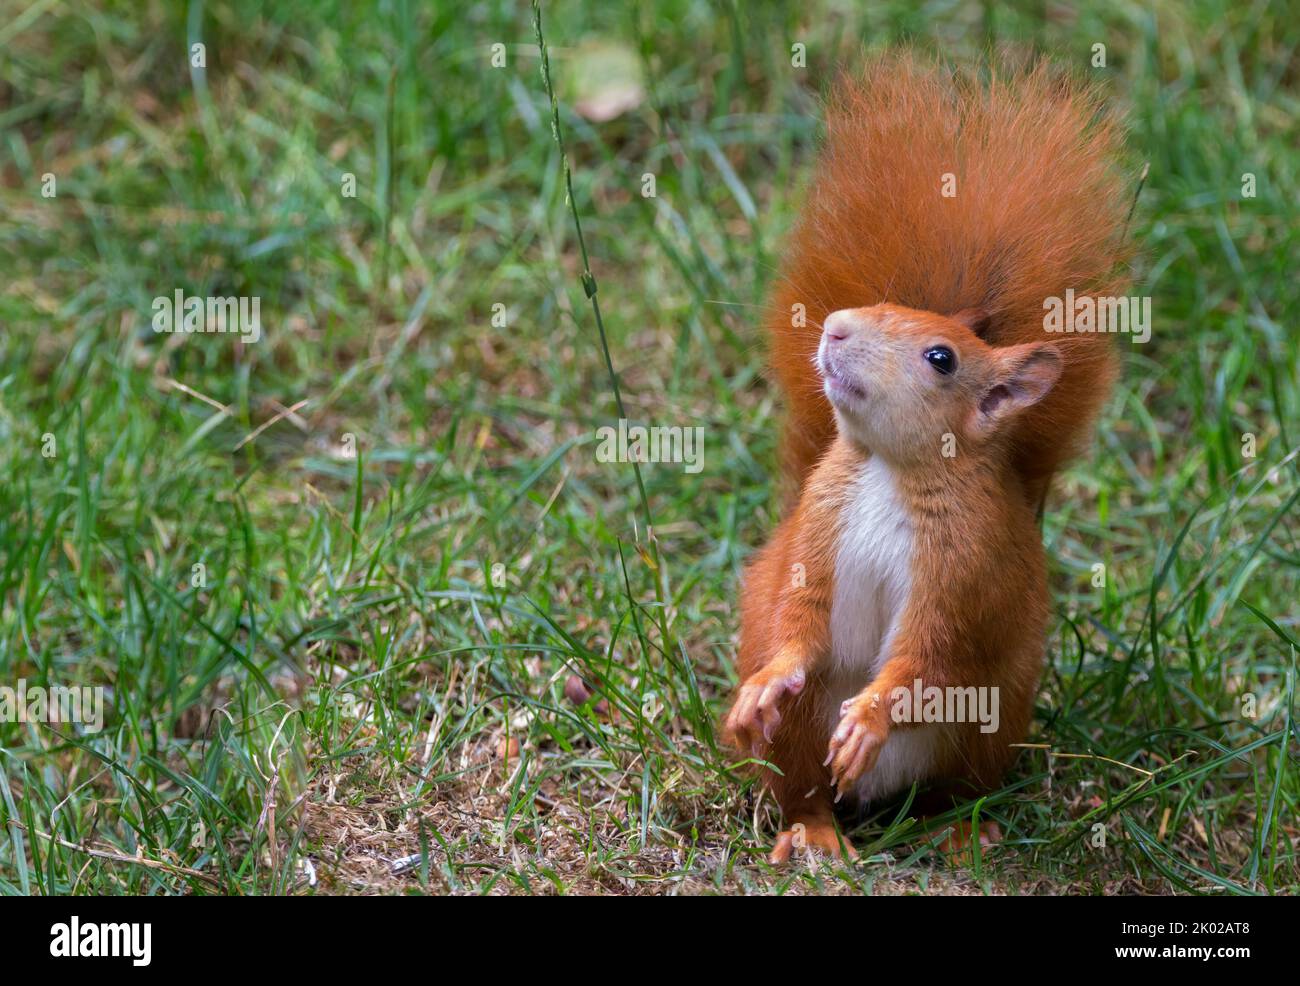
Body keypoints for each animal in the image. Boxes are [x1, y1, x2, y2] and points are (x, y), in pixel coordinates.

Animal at [725, 53, 1134, 863]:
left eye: (940, 357)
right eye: (878, 303)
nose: (835, 328)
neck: (890, 468)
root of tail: (872, 803)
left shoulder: (969, 565)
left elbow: (934, 655)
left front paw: (872, 716)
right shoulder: (818, 527)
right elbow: (796, 615)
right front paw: (769, 679)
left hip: (983, 730)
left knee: (953, 790)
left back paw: (962, 832)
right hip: (798, 737)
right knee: (803, 785)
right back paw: (813, 831)